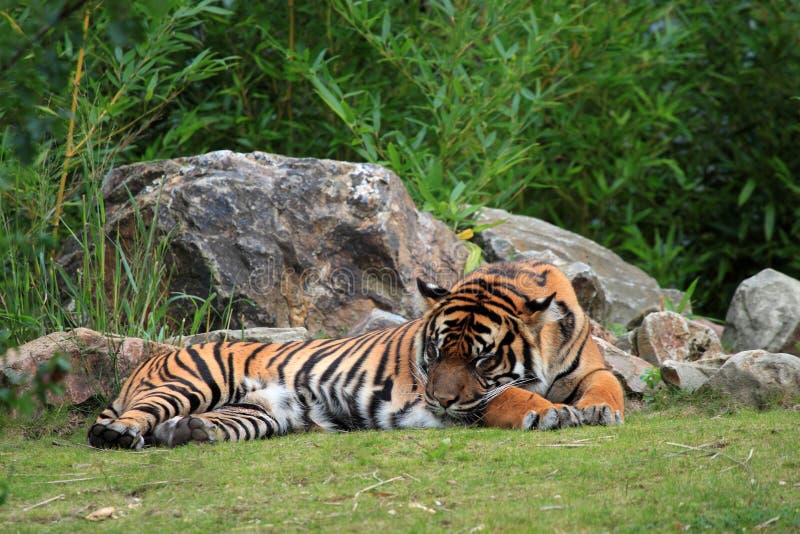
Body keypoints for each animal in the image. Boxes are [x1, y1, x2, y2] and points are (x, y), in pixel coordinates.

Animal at [88, 259, 624, 449]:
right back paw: (118, 435)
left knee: (196, 424)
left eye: (481, 358)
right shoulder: (470, 405)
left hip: (260, 412)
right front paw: (553, 413)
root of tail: (147, 360)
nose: (440, 400)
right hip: (195, 379)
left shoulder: (588, 366)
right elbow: (511, 397)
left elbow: (608, 384)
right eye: (435, 352)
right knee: (131, 417)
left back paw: (188, 432)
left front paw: (600, 410)